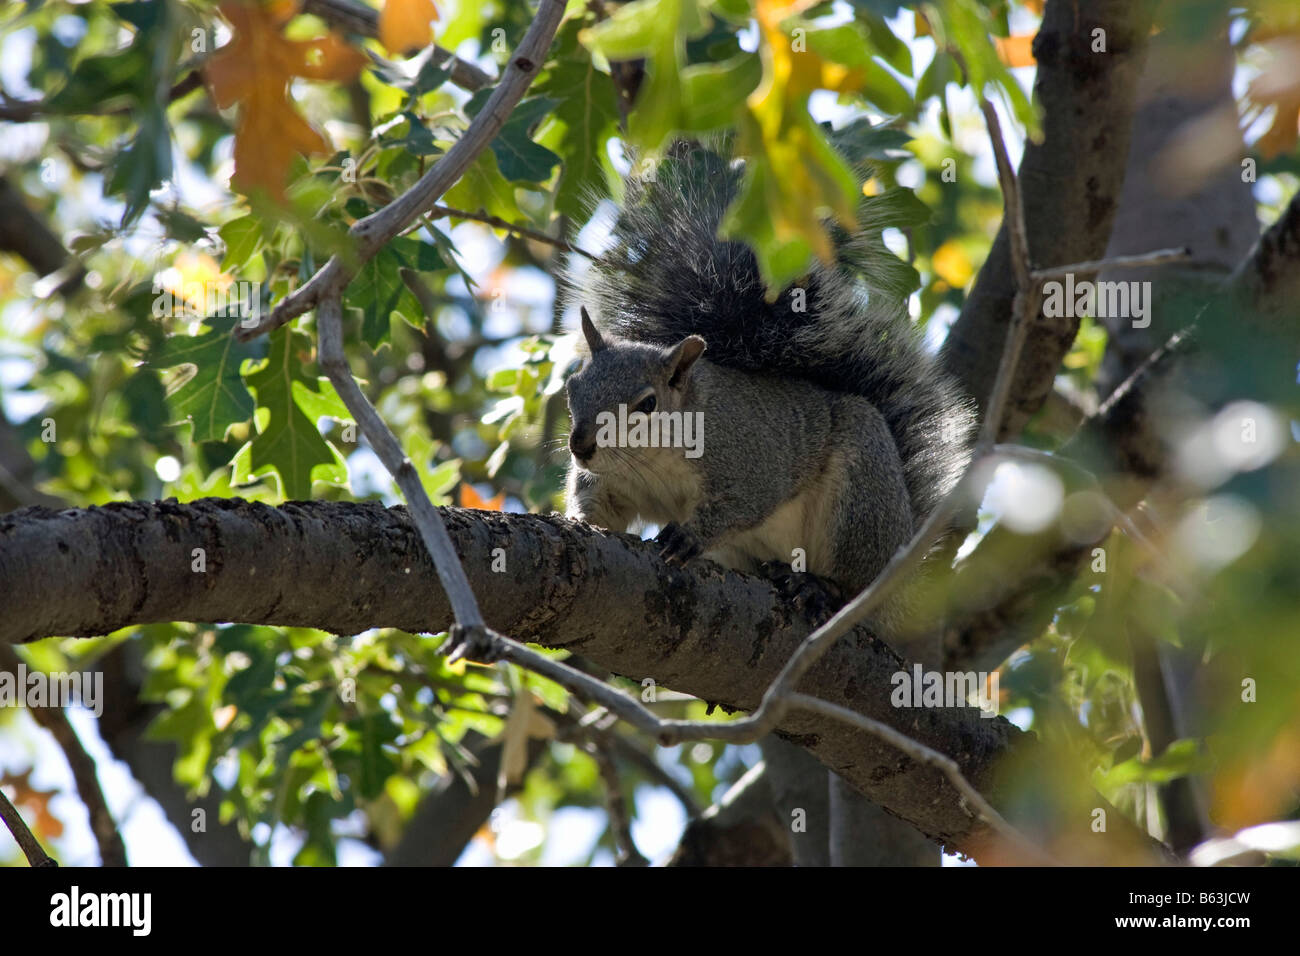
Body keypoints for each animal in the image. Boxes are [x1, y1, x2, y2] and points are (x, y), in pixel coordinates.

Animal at [562, 144, 976, 615]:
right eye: (573, 388)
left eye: (648, 404)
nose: (581, 447)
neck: (653, 458)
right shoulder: (614, 482)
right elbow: (600, 505)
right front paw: (577, 520)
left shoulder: (751, 457)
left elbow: (746, 502)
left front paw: (690, 535)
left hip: (860, 502)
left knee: (853, 580)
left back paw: (820, 587)